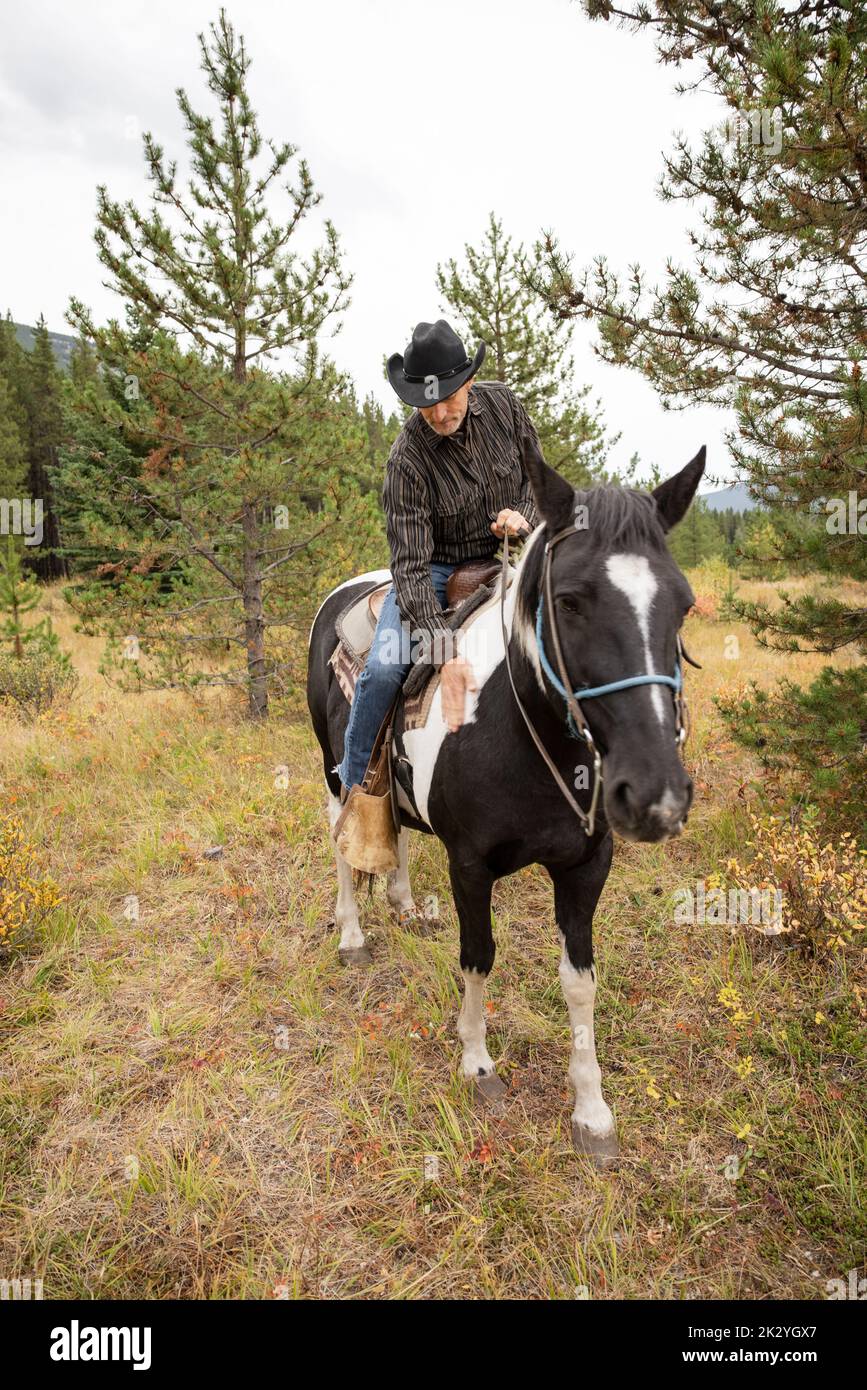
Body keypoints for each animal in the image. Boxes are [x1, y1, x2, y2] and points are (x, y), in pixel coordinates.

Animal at [306, 439, 705, 1162]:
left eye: (682, 604)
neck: (523, 728)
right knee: (342, 839)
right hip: (333, 768)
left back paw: (405, 906)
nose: (655, 795)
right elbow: (478, 956)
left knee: (395, 833)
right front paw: (477, 1064)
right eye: (569, 601)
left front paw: (591, 1111)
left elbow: (580, 980)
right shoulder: (469, 867)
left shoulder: (585, 866)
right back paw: (351, 932)